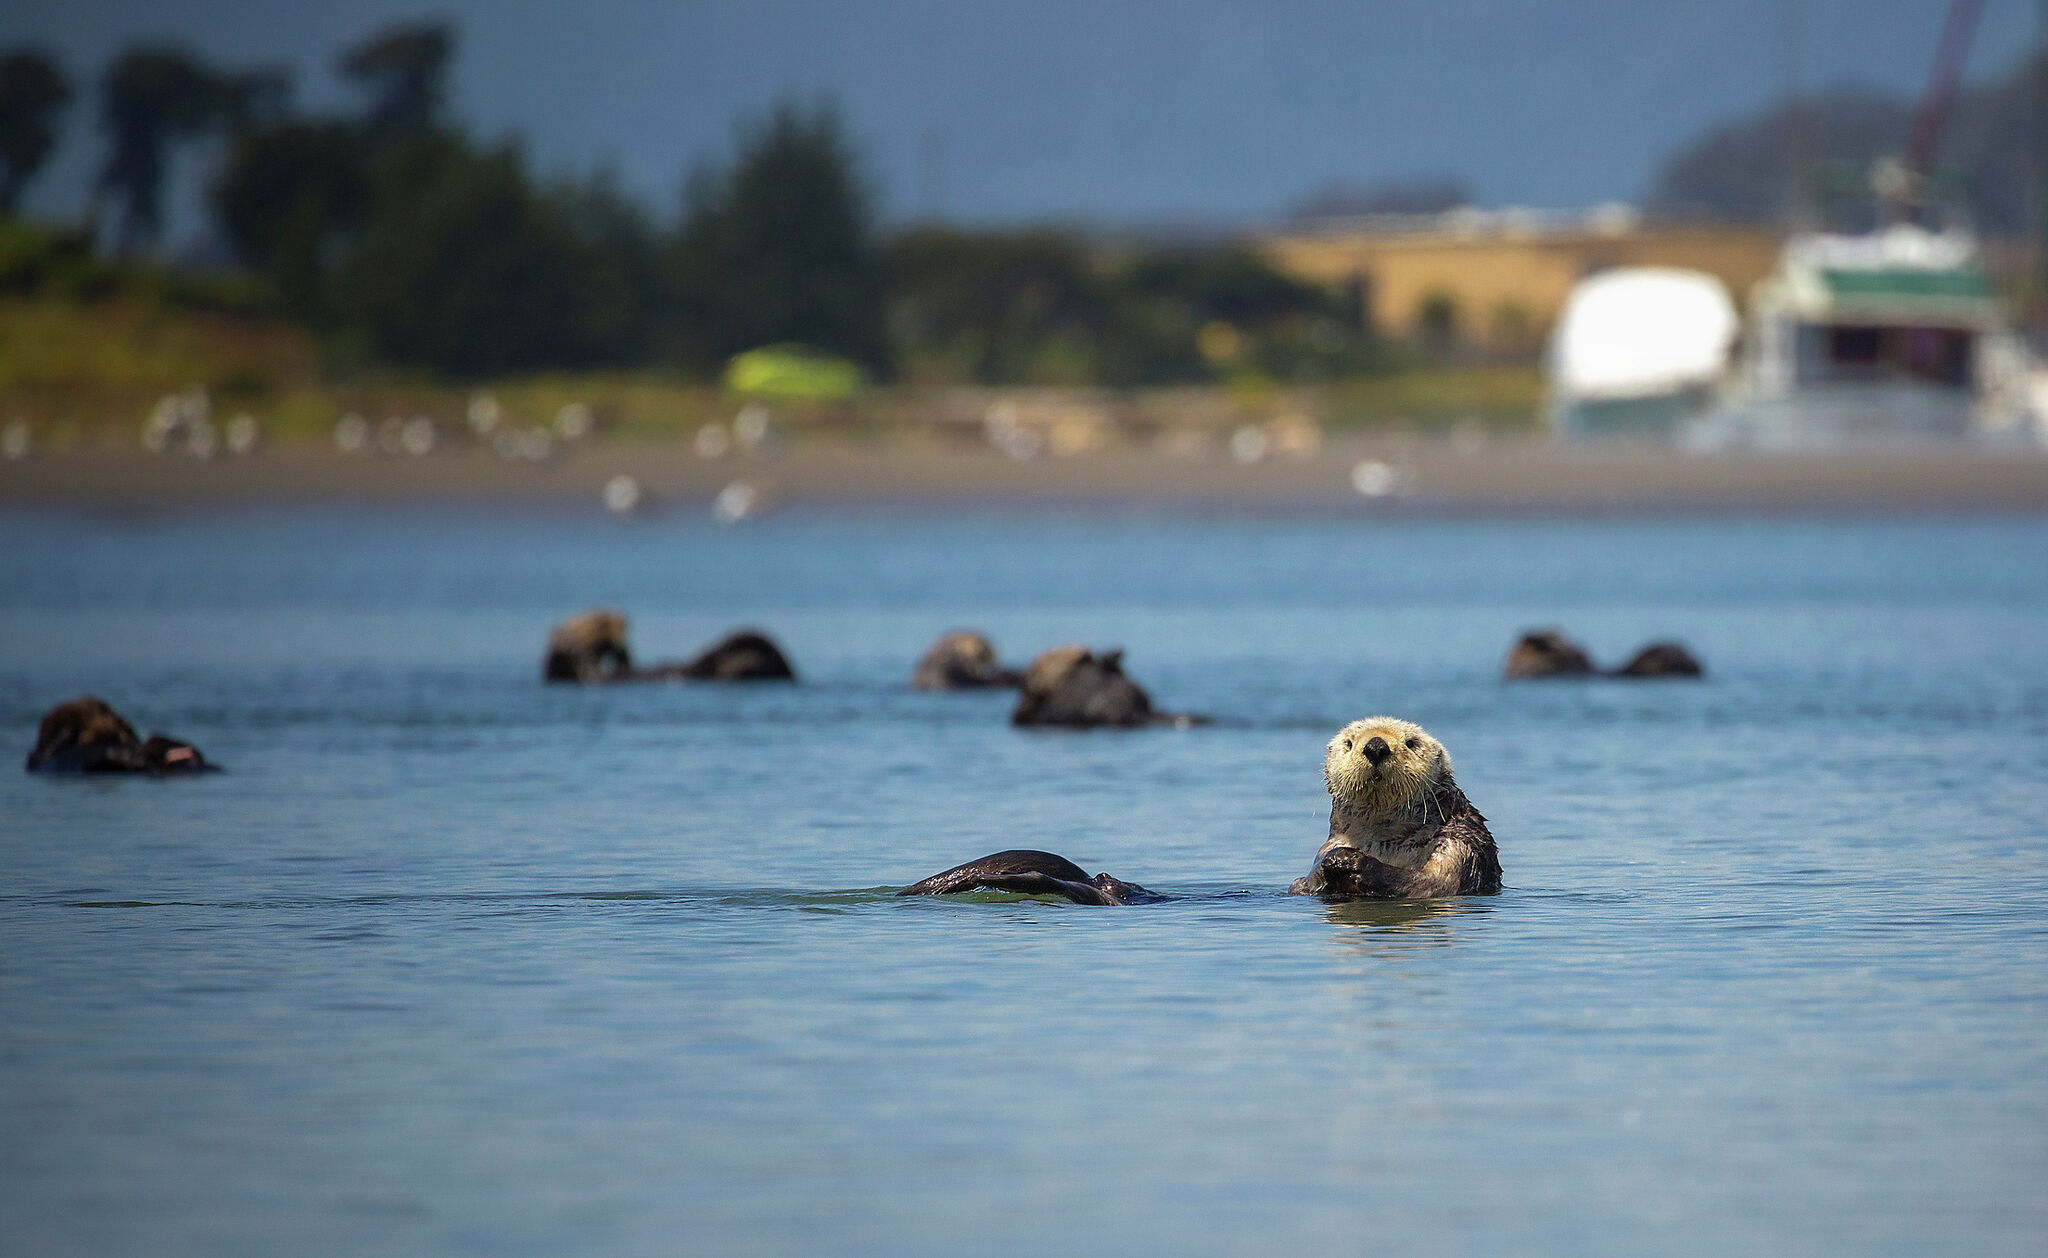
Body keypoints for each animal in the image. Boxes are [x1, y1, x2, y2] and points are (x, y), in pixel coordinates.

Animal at [898, 717, 1496, 904]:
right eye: (1351, 742)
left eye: (1410, 742)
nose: (1375, 747)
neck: (1384, 838)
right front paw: (1334, 868)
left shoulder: (1459, 848)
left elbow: (1429, 885)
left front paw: (1350, 867)